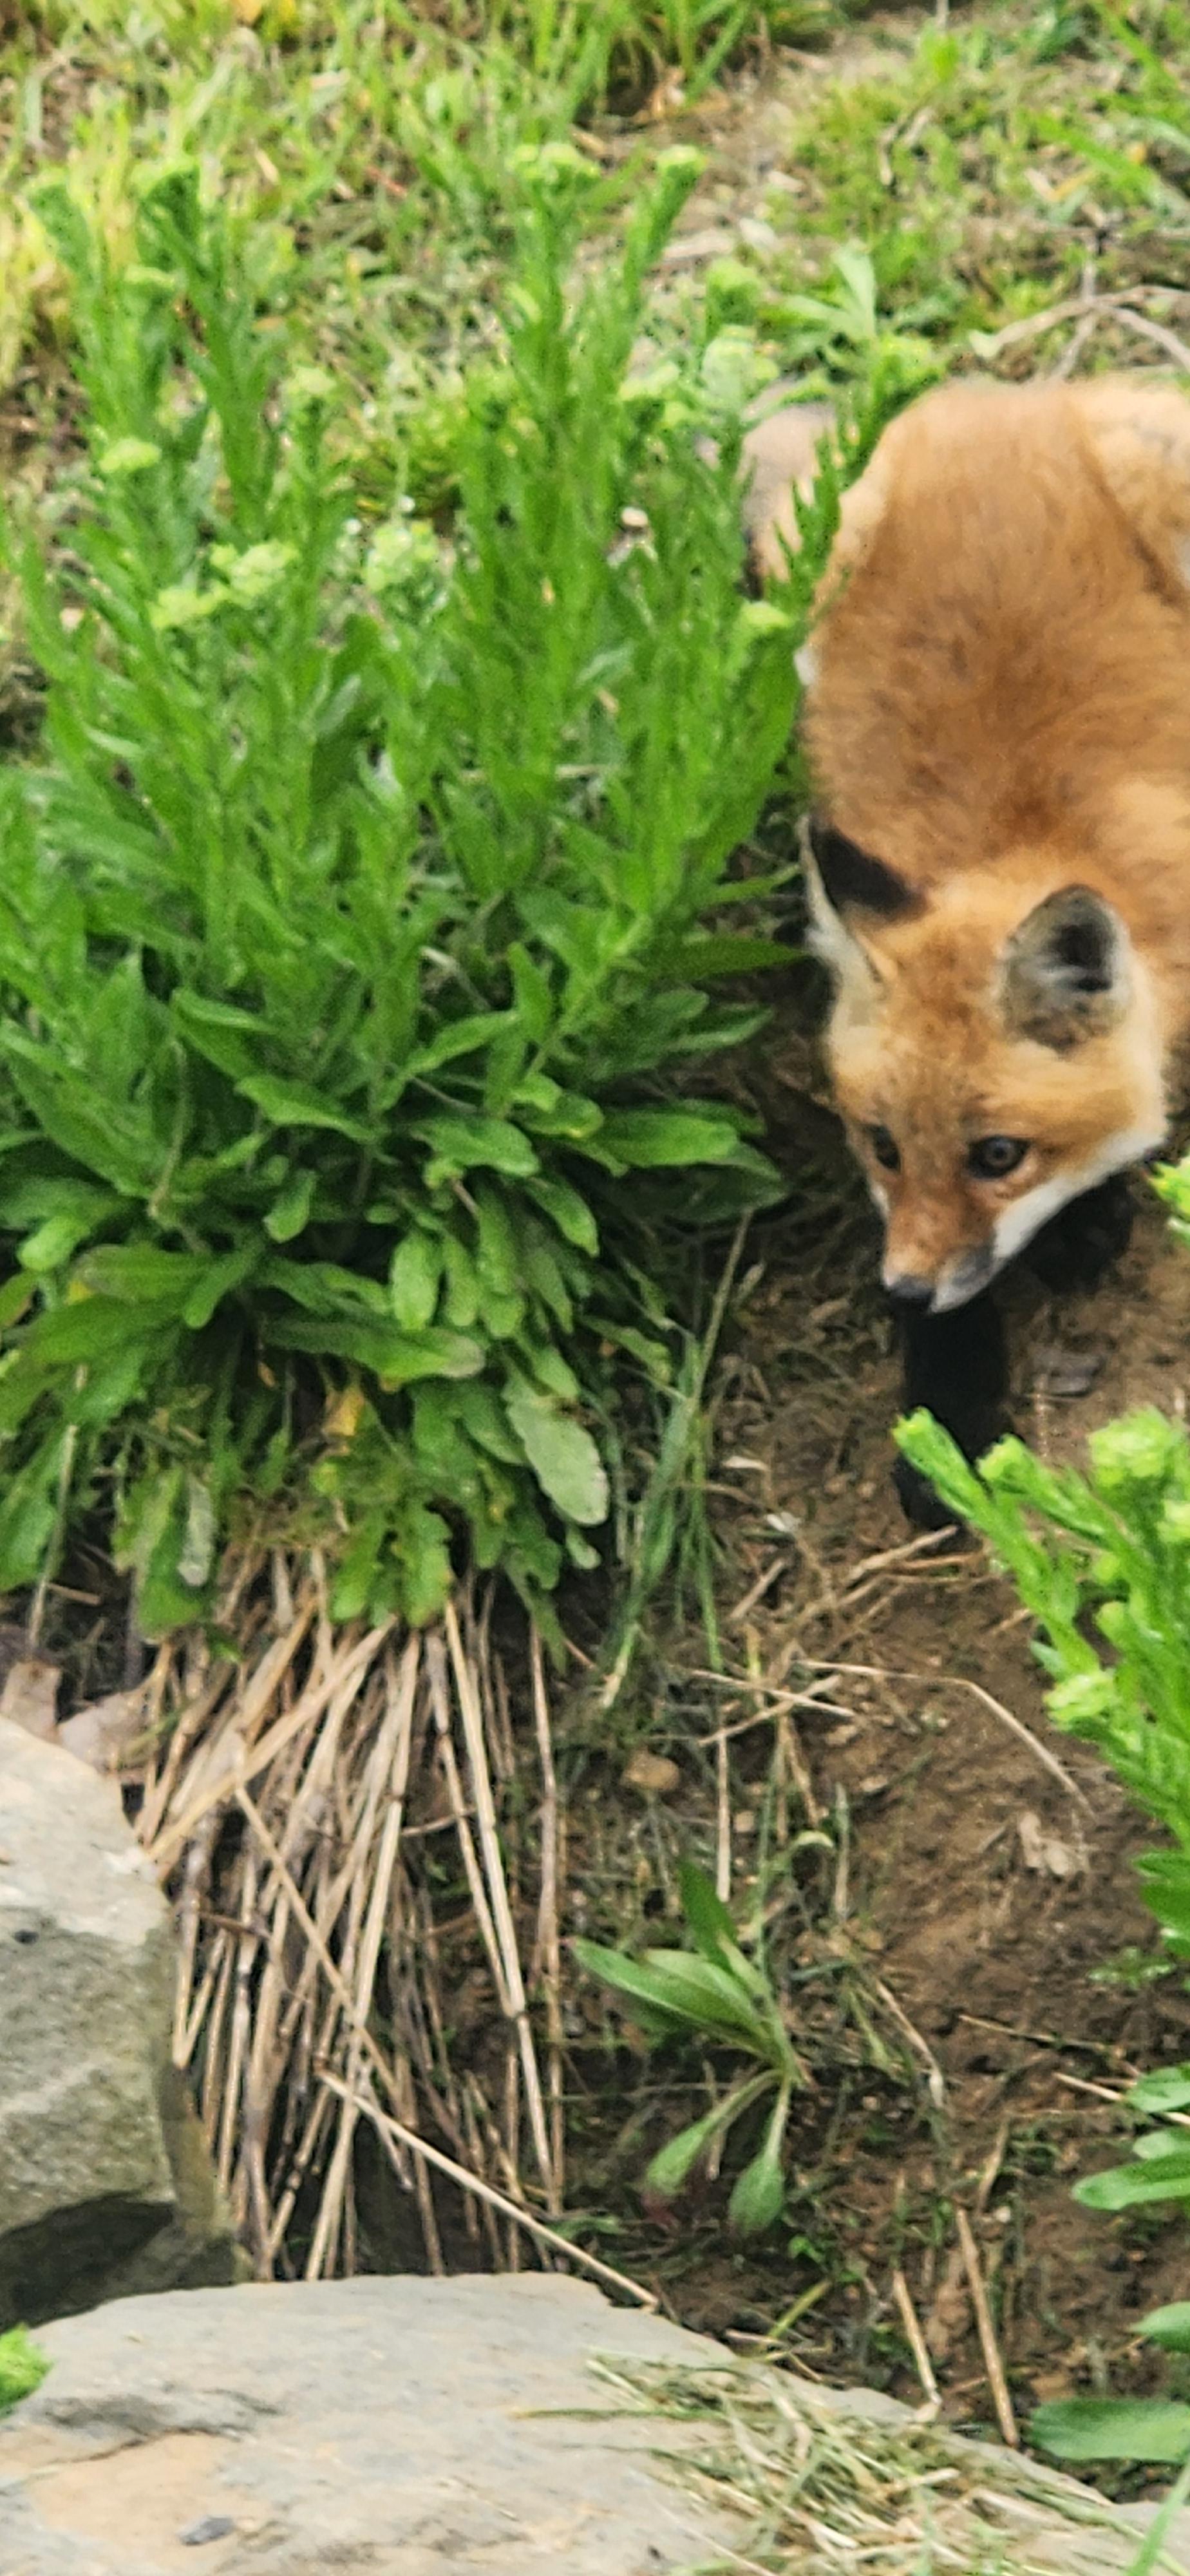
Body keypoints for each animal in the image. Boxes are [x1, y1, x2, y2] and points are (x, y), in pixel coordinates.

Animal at [741, 374, 1190, 1525]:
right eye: (883, 1145)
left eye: (998, 1156)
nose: (900, 1286)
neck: (1022, 841)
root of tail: (1007, 400)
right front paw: (942, 1414)